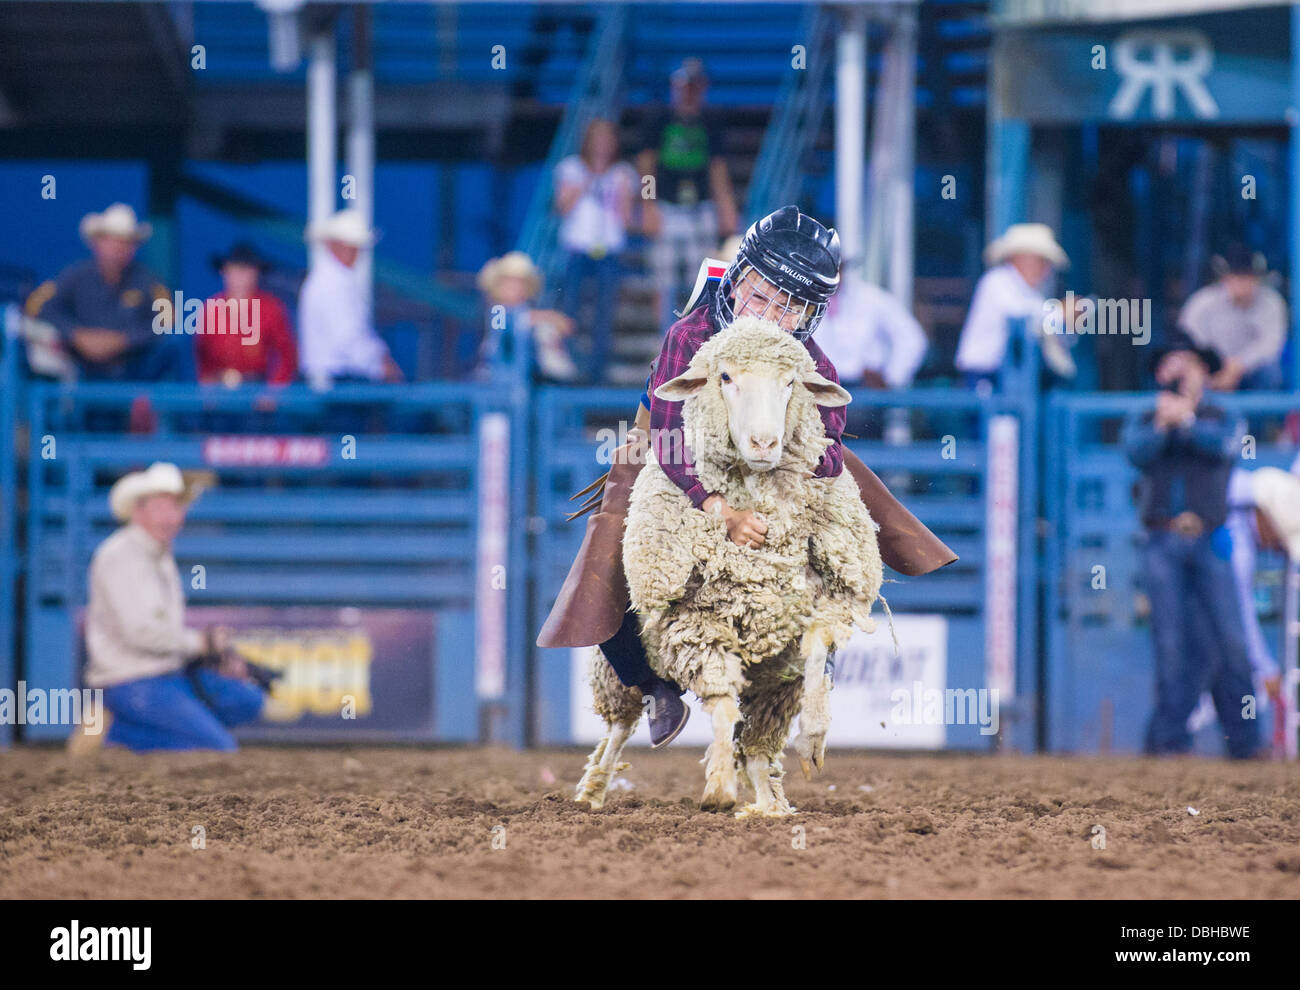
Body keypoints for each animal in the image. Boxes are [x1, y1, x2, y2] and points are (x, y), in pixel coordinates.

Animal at [574, 316, 884, 817]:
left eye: (792, 382)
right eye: (724, 377)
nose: (764, 443)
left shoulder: (817, 614)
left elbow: (818, 651)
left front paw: (813, 737)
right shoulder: (694, 627)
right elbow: (720, 701)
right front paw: (718, 787)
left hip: (772, 686)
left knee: (757, 747)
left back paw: (768, 803)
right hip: (622, 668)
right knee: (621, 725)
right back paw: (594, 787)